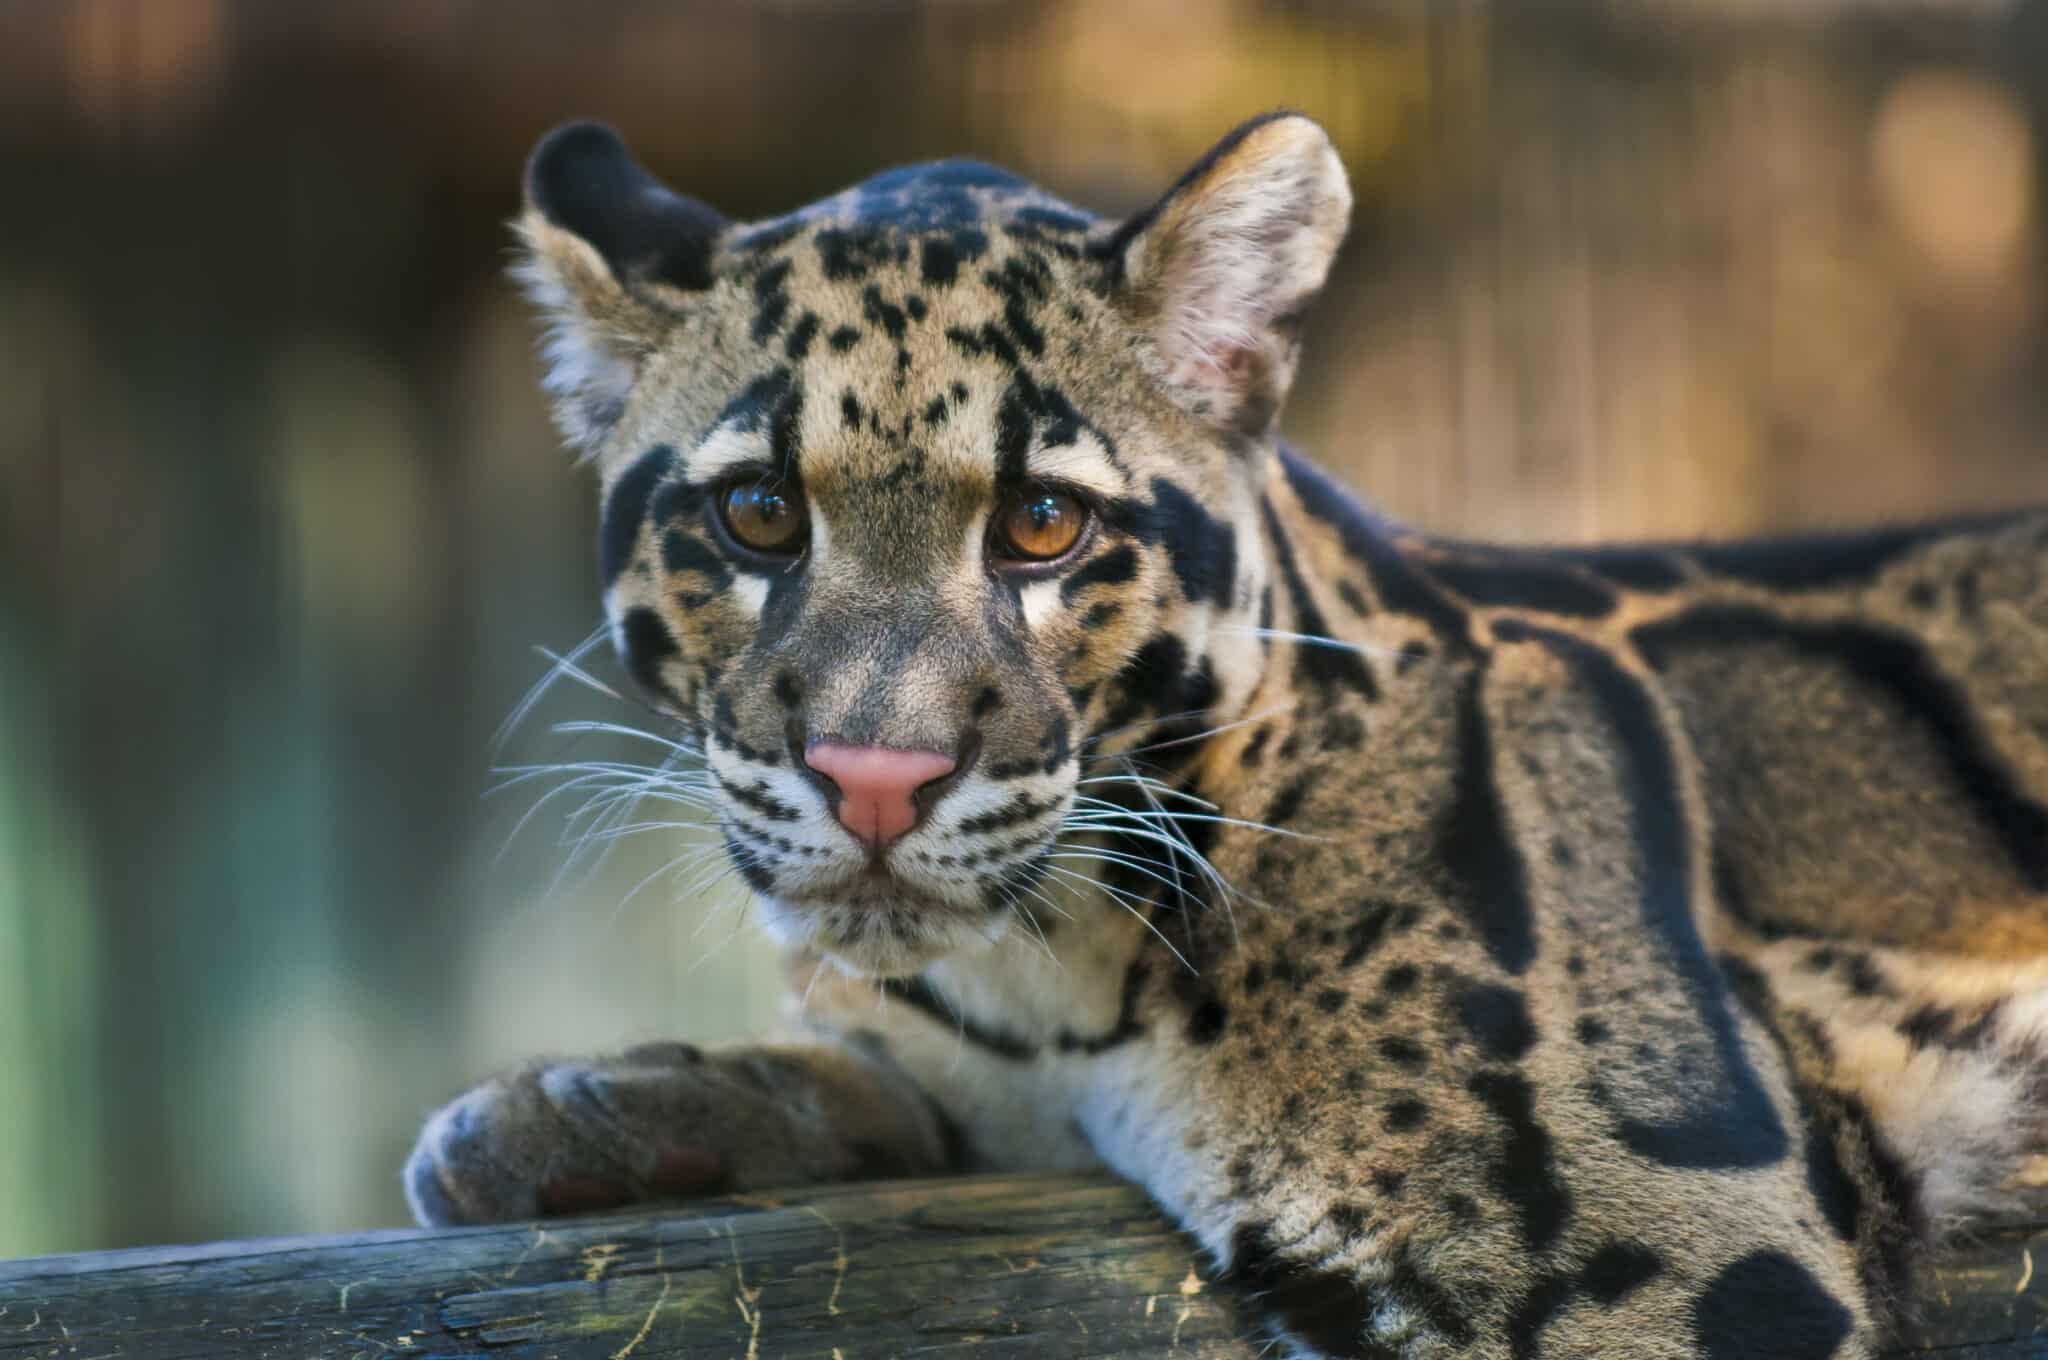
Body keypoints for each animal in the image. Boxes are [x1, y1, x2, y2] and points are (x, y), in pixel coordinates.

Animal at [406, 114, 2048, 1358]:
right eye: (756, 513)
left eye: (1044, 524)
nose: (877, 777)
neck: (1052, 978)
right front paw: (604, 1104)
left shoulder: (1639, 1254)